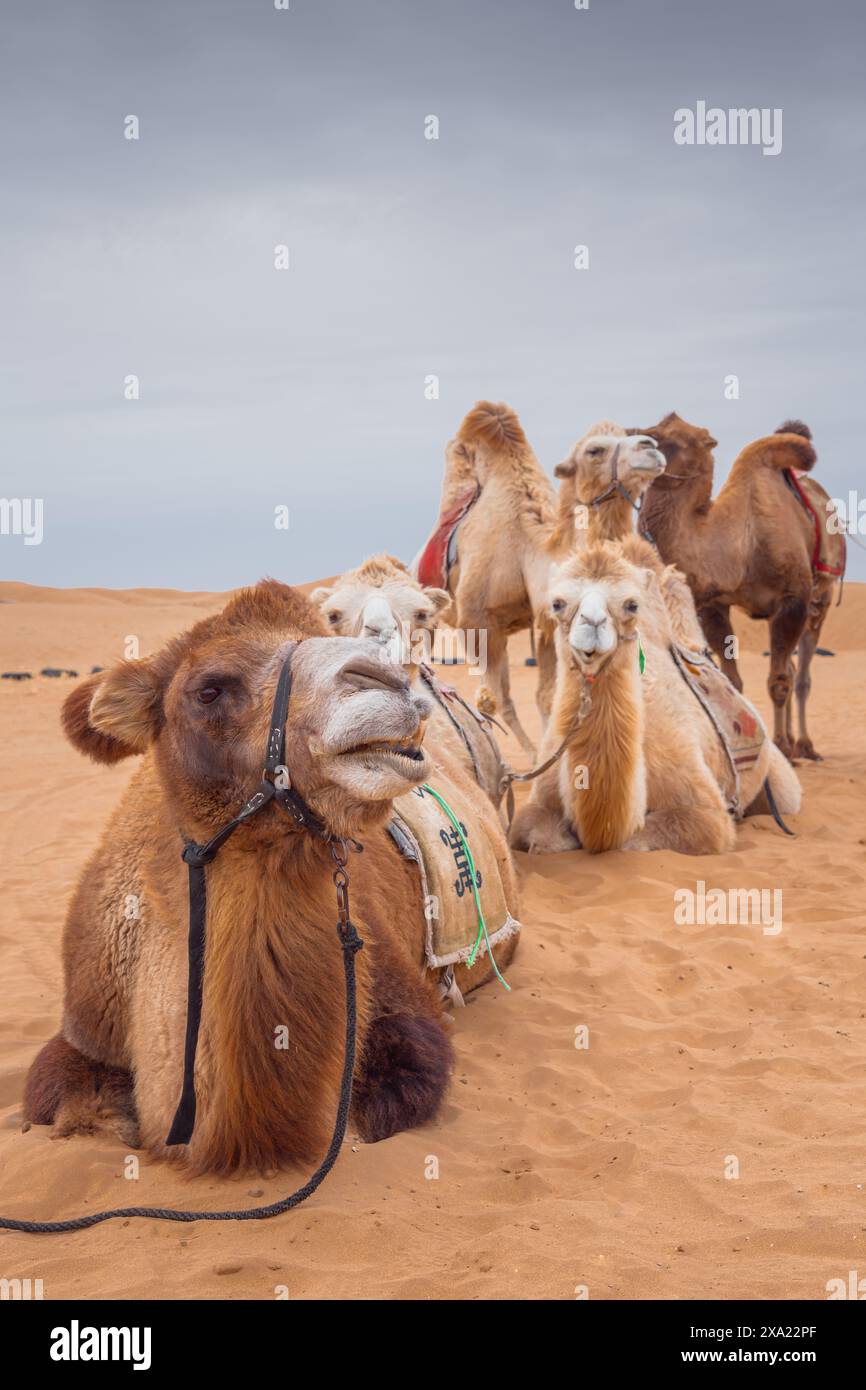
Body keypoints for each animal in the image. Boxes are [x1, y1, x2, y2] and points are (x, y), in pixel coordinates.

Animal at [509, 541, 801, 855]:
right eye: (557, 603)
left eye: (632, 604)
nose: (593, 623)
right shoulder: (538, 801)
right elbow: (535, 835)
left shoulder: (706, 812)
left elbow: (635, 842)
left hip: (778, 784)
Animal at [634, 415, 844, 760]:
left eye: (668, 437)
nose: (631, 436)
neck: (740, 545)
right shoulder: (714, 604)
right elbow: (732, 680)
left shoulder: (792, 600)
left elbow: (779, 682)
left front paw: (781, 747)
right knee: (791, 667)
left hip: (820, 602)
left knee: (801, 677)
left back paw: (804, 746)